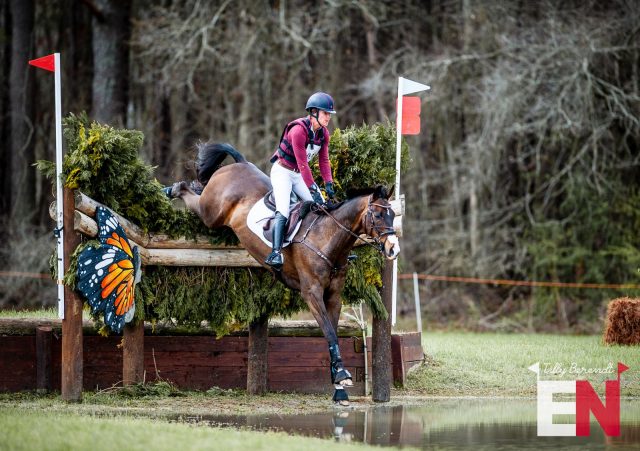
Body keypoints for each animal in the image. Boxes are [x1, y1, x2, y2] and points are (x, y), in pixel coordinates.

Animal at [169, 142, 400, 405]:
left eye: (393, 215)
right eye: (379, 215)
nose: (393, 249)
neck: (327, 238)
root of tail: (240, 164)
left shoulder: (333, 297)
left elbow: (332, 334)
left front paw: (338, 387)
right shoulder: (311, 293)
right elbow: (330, 333)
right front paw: (342, 376)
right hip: (211, 213)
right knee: (192, 193)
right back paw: (172, 188)